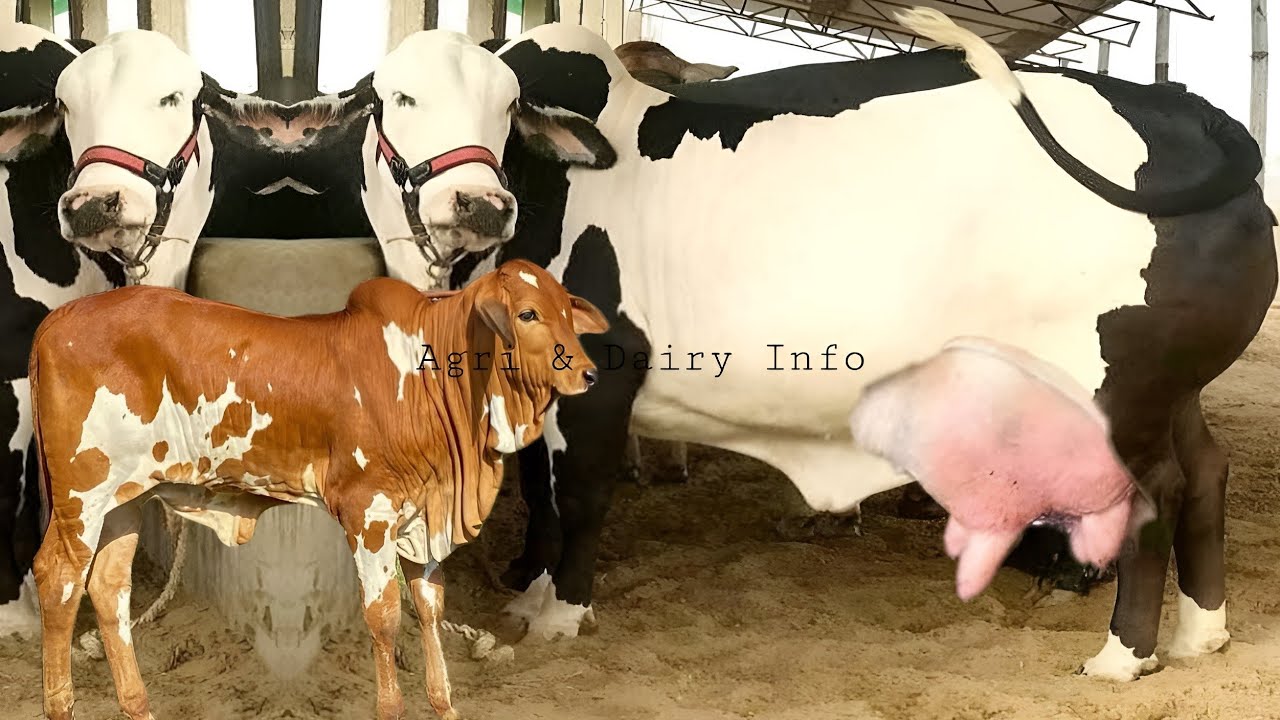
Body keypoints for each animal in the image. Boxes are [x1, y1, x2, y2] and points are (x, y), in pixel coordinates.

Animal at [29, 258, 608, 720]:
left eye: (565, 308)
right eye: (527, 314)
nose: (588, 373)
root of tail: (56, 320)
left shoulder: (422, 521)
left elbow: (431, 610)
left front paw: (444, 704)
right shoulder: (368, 513)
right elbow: (384, 616)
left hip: (125, 499)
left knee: (108, 589)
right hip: (82, 497)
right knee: (58, 579)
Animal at [355, 6, 1277, 684]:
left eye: (507, 108)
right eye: (393, 100)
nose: (475, 204)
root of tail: (1187, 108)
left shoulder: (603, 374)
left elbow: (576, 494)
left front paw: (560, 612)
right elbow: (541, 493)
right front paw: (526, 591)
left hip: (1115, 388)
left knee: (1156, 490)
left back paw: (1125, 654)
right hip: (1168, 383)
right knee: (1207, 471)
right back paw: (1201, 633)